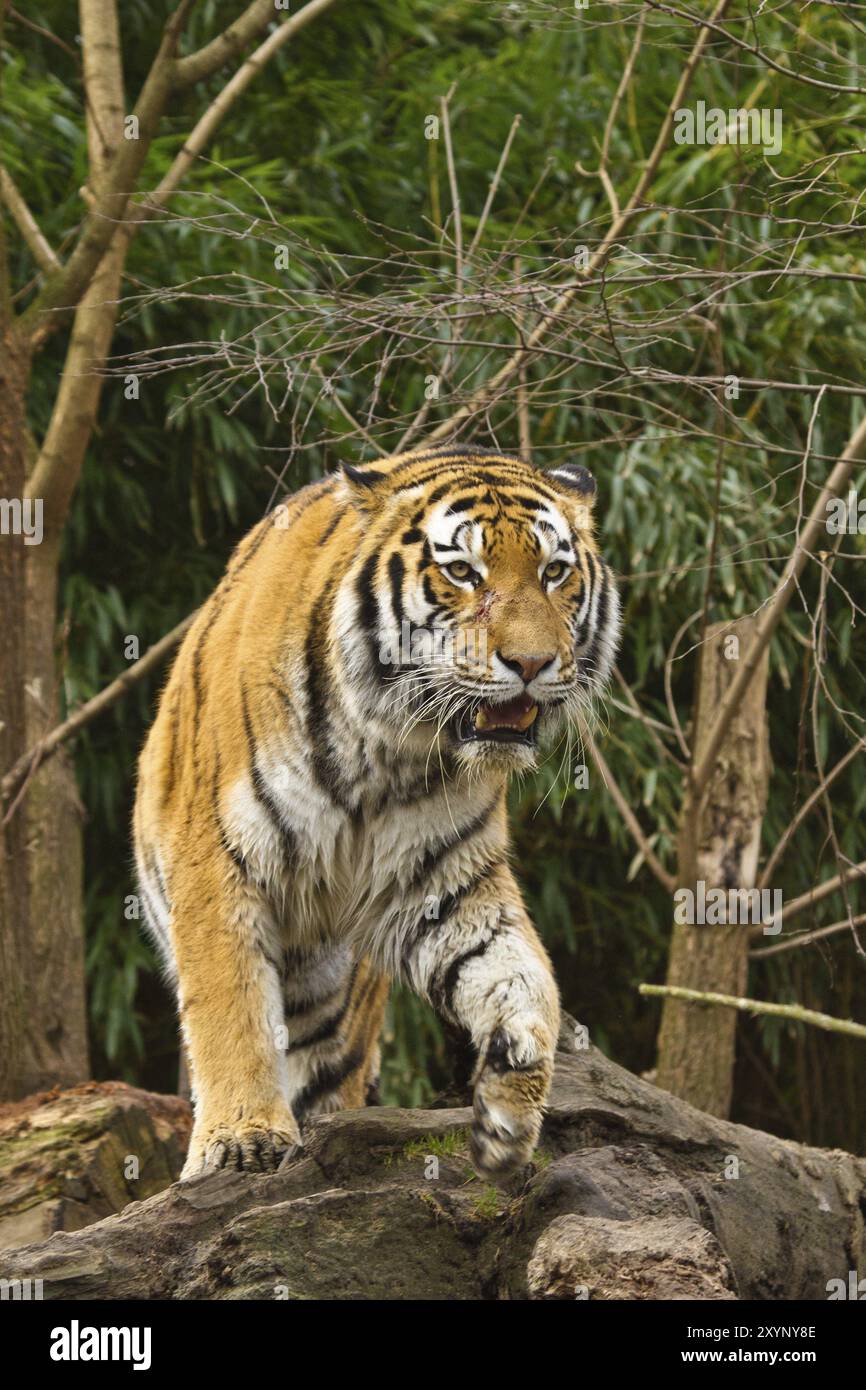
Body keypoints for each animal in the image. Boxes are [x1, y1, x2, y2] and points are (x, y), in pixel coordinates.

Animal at [133, 444, 620, 1183]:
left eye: (554, 572)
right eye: (462, 572)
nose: (532, 663)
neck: (387, 748)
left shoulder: (445, 879)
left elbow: (524, 977)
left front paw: (508, 1111)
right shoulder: (216, 860)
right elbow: (231, 1010)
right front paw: (243, 1139)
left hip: (335, 1009)